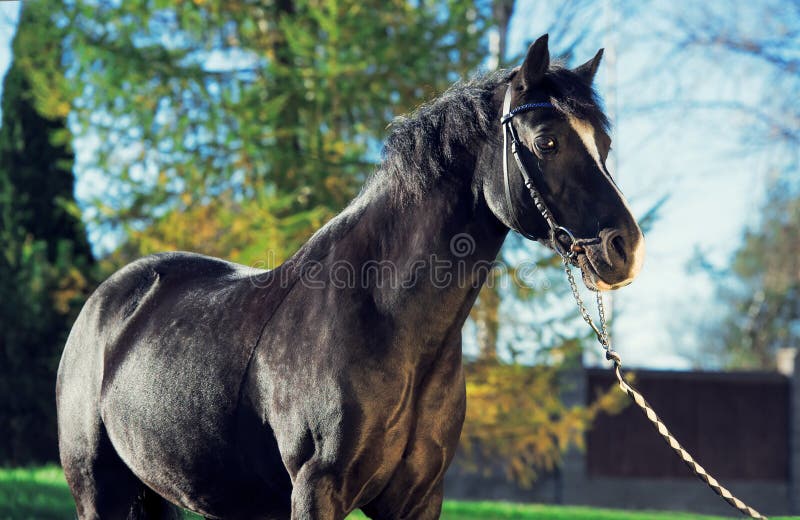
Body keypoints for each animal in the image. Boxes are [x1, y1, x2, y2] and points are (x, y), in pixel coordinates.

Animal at [56, 34, 644, 520]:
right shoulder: (318, 490)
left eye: (605, 146)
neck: (386, 320)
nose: (625, 249)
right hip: (99, 491)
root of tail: (108, 301)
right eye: (547, 142)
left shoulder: (418, 499)